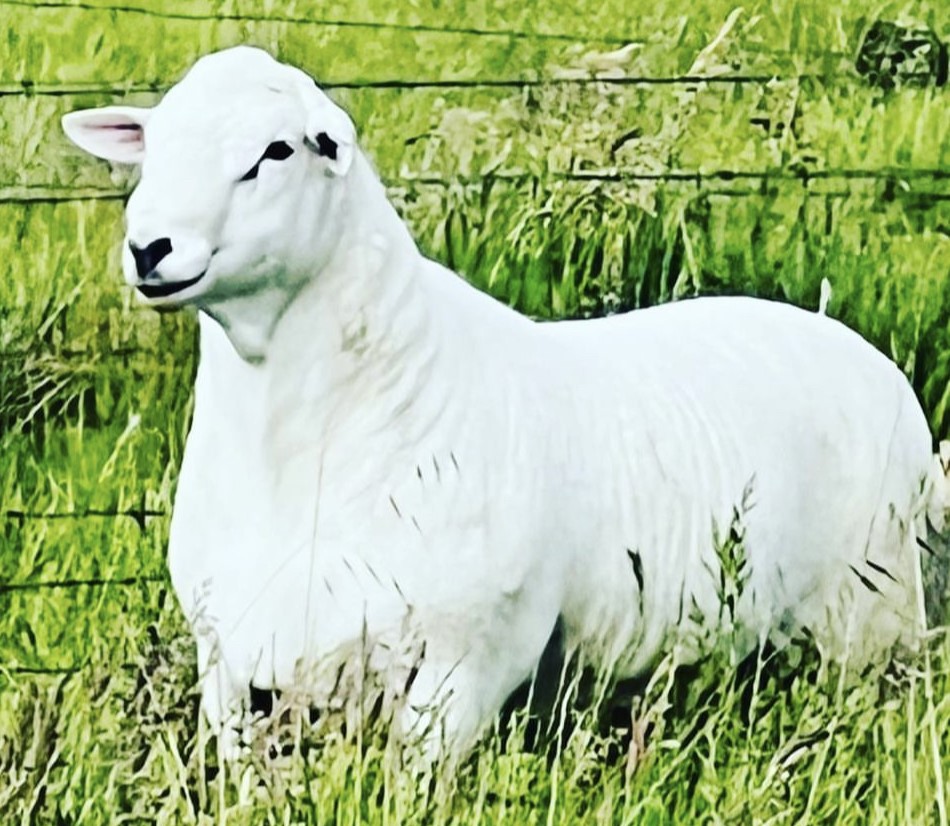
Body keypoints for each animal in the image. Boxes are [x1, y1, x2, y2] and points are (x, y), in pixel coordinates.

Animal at [62, 46, 940, 761]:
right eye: (153, 148)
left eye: (275, 151)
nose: (149, 248)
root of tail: (858, 348)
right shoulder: (230, 666)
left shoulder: (468, 661)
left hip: (876, 620)